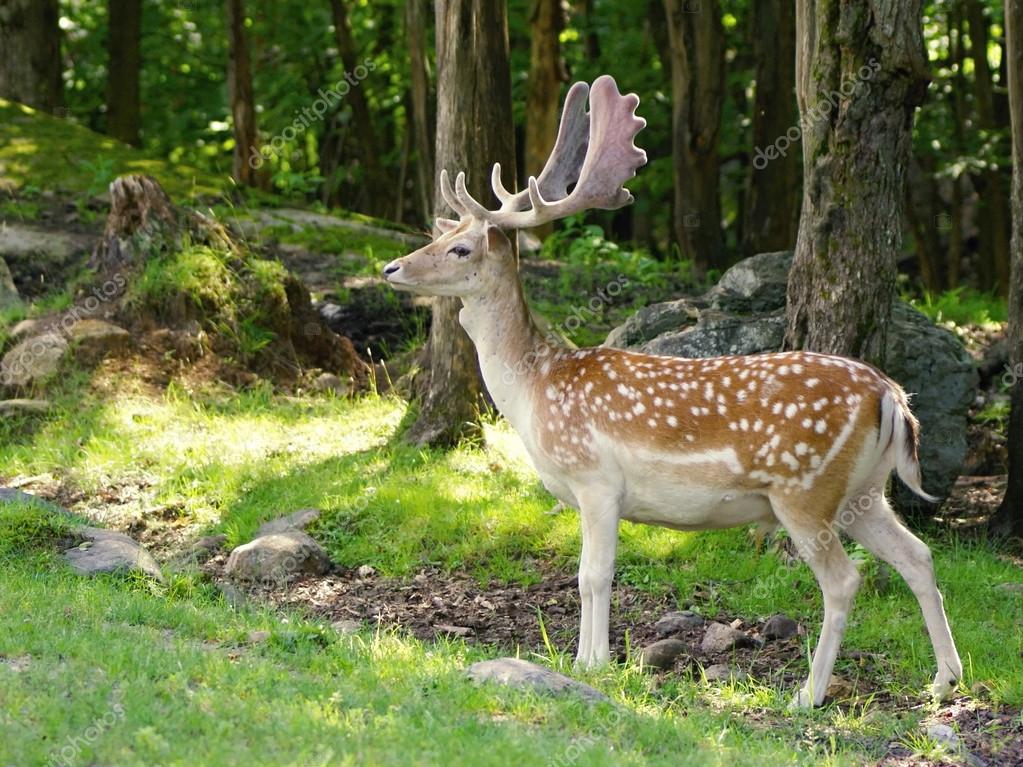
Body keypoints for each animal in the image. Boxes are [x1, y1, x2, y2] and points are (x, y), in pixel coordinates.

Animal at [382, 75, 962, 708]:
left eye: (461, 248)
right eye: (443, 233)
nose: (390, 269)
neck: (536, 392)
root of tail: (891, 396)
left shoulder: (596, 481)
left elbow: (592, 576)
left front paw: (592, 663)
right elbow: (587, 577)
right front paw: (587, 659)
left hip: (804, 488)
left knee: (844, 580)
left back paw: (807, 695)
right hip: (863, 491)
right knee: (918, 555)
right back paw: (945, 678)